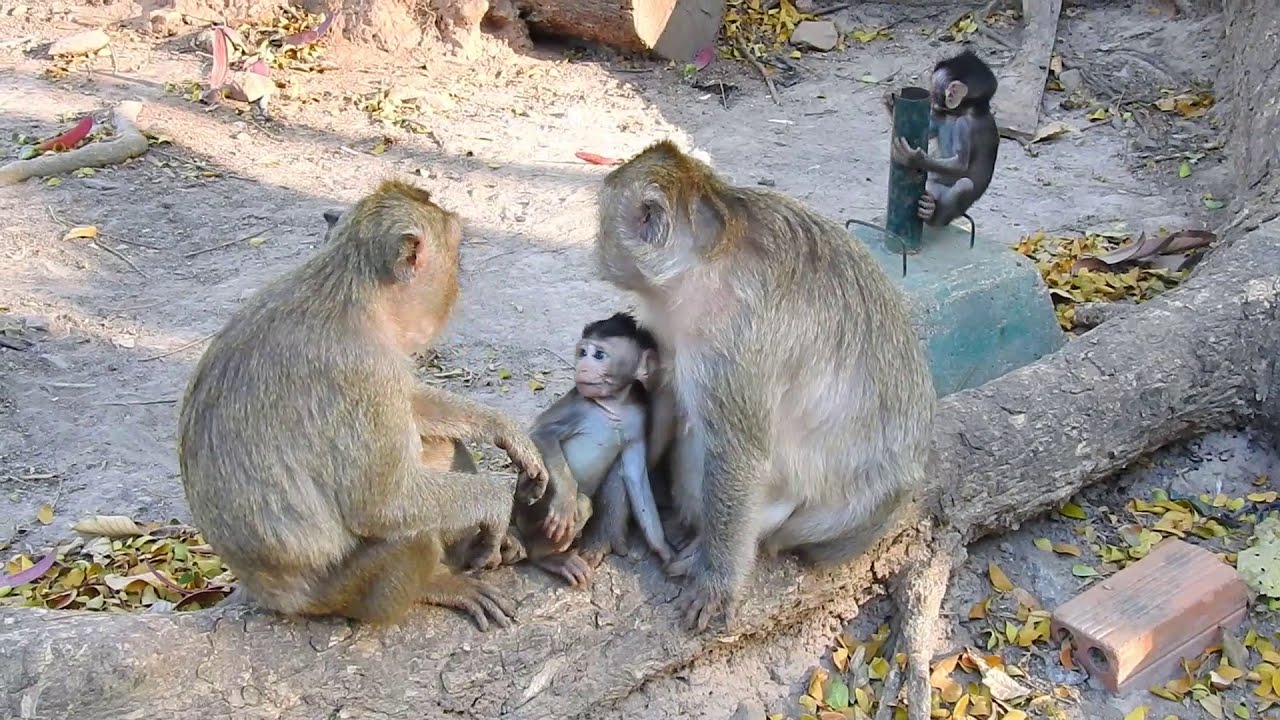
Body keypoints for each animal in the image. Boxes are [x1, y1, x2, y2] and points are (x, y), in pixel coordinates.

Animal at [178, 179, 551, 632]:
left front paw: (504, 430)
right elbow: (381, 505)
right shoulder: (362, 371)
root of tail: (269, 595)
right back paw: (439, 582)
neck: (354, 296)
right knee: (410, 533)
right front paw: (496, 503)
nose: (459, 285)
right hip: (339, 592)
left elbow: (412, 404)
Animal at [503, 312, 674, 586]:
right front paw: (565, 501)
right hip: (530, 516)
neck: (613, 406)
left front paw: (665, 550)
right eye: (583, 352)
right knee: (581, 504)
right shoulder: (579, 406)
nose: (582, 366)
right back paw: (548, 556)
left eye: (599, 355)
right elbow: (542, 434)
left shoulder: (638, 421)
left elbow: (636, 477)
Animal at [593, 141, 939, 718]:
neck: (708, 253)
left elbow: (739, 454)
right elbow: (664, 401)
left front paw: (717, 579)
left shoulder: (734, 341)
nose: (596, 241)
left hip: (853, 518)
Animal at [885, 49, 999, 237]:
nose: (931, 99)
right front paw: (891, 101)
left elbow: (960, 164)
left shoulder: (963, 126)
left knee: (964, 185)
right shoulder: (944, 114)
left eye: (933, 90)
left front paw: (914, 159)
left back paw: (933, 216)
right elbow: (930, 130)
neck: (970, 110)